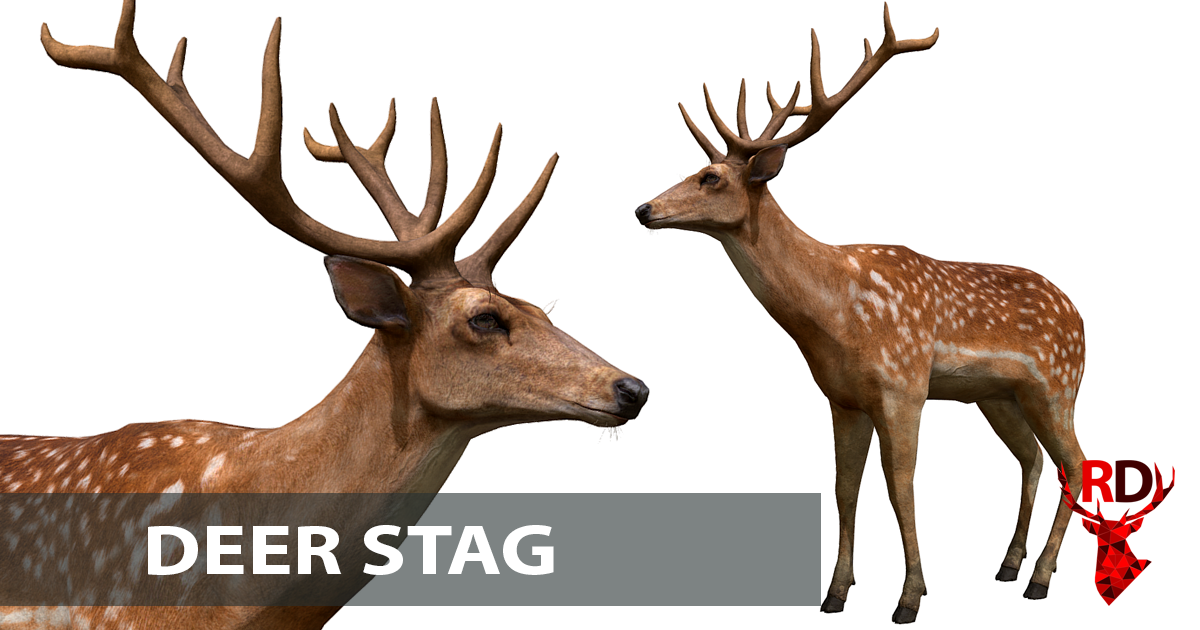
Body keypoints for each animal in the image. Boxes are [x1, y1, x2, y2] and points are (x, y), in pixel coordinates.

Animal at [634, 4, 1087, 624]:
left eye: (711, 177)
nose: (643, 208)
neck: (836, 316)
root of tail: (1080, 315)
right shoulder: (842, 396)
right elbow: (844, 487)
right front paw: (835, 593)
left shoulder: (903, 384)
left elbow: (901, 487)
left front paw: (910, 598)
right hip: (998, 395)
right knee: (1035, 460)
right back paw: (1010, 565)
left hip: (1058, 383)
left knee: (1077, 462)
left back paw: (1040, 577)